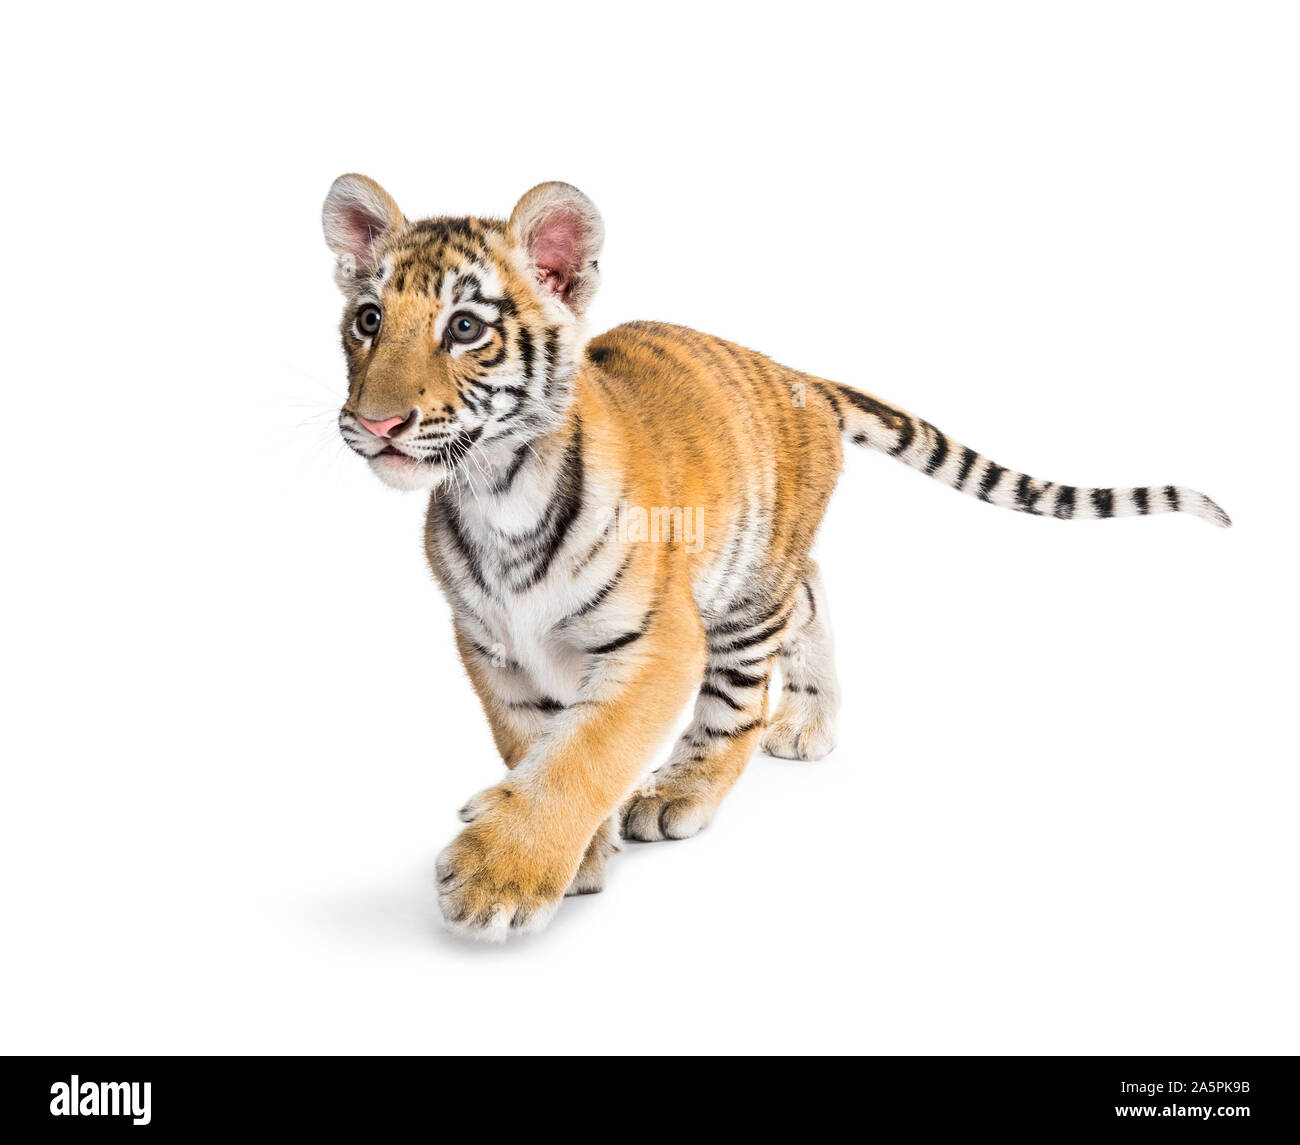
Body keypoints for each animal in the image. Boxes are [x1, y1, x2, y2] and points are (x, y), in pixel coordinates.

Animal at [322, 174, 1230, 941]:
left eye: (464, 328)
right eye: (368, 319)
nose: (375, 423)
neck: (494, 490)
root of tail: (801, 375)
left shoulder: (659, 638)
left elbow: (587, 750)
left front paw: (500, 877)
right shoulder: (491, 646)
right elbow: (531, 740)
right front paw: (573, 855)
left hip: (743, 592)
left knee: (743, 695)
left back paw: (686, 788)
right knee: (816, 591)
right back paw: (811, 723)